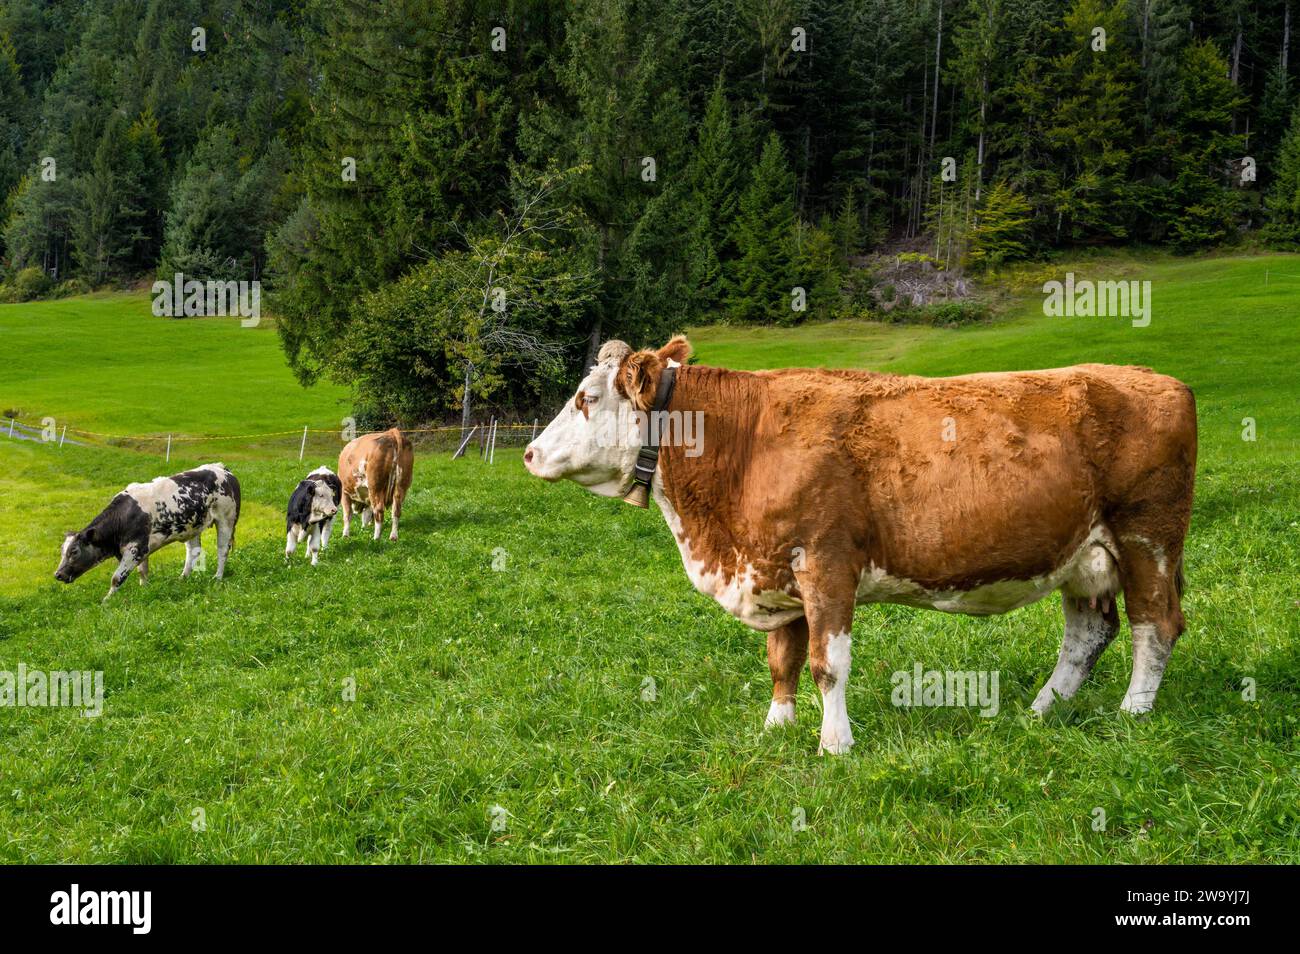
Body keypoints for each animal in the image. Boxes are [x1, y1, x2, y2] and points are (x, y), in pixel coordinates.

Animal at [54, 463, 241, 602]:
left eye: (74, 551)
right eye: (62, 551)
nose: (58, 574)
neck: (123, 516)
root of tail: (222, 469)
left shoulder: (135, 549)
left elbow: (116, 577)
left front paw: (106, 600)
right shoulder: (140, 549)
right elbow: (142, 572)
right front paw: (144, 589)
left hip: (226, 519)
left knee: (222, 550)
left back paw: (217, 577)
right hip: (192, 526)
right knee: (193, 552)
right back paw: (183, 578)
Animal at [524, 337, 1197, 754]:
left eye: (586, 399)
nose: (528, 453)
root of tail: (1156, 378)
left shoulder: (826, 563)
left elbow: (828, 662)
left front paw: (835, 744)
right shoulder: (776, 571)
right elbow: (783, 659)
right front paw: (777, 727)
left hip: (1148, 538)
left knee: (1156, 625)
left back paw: (1133, 713)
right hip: (1084, 554)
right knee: (1088, 633)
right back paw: (1042, 710)